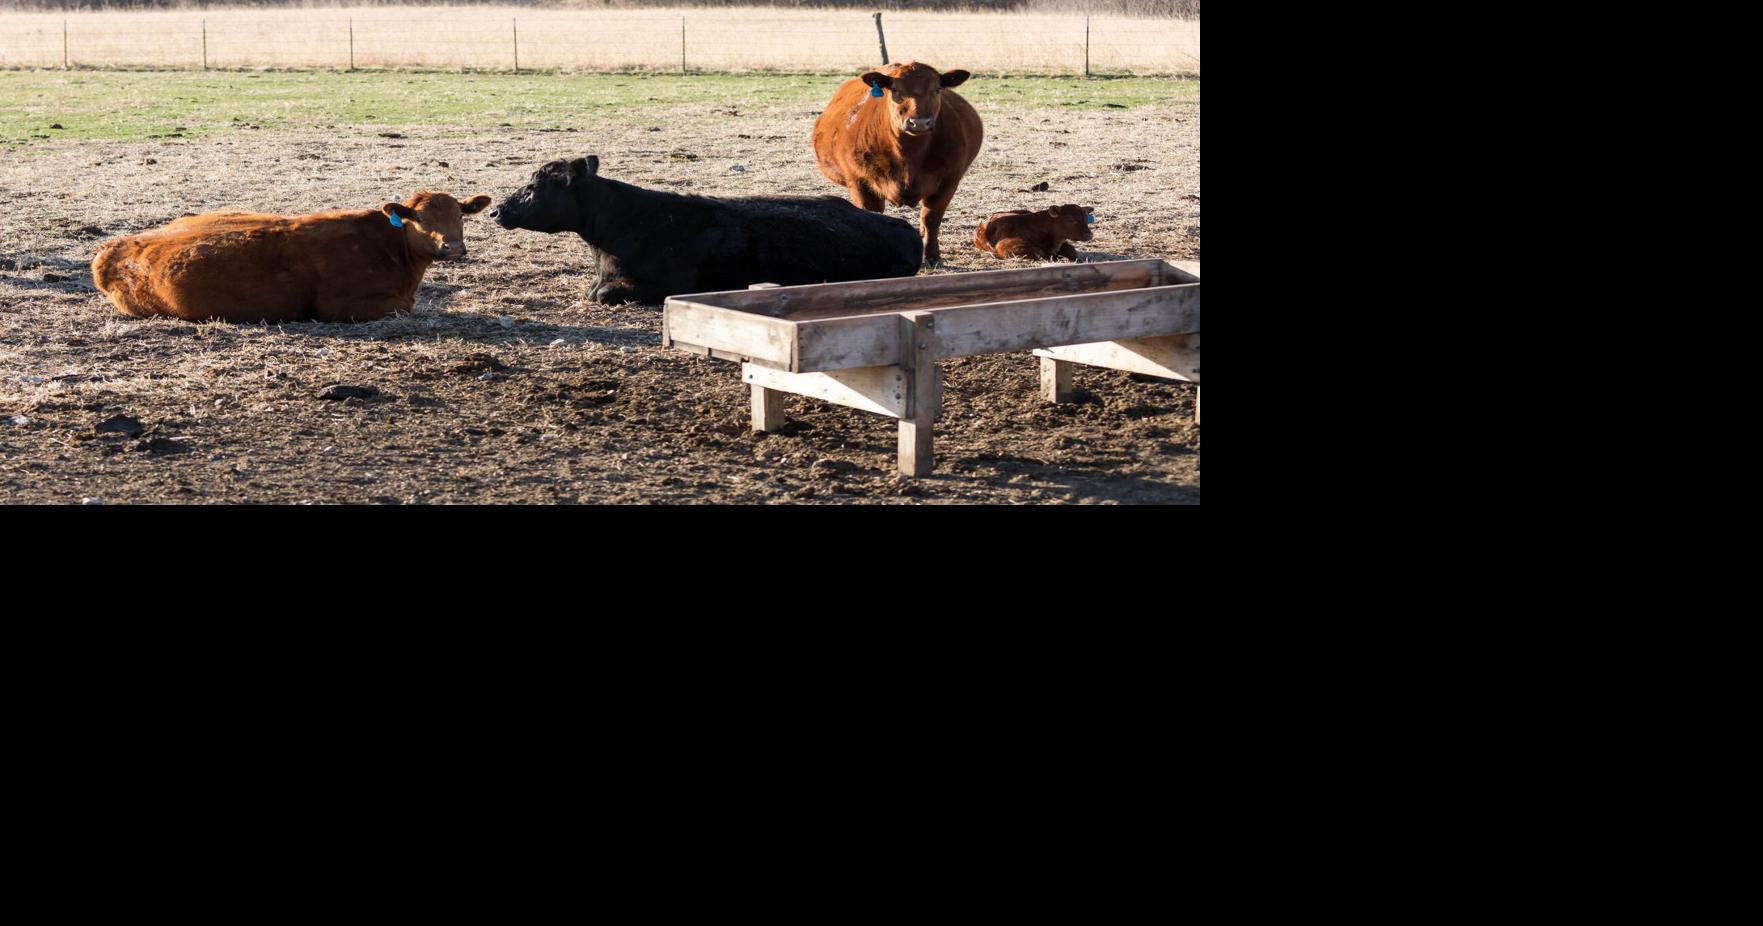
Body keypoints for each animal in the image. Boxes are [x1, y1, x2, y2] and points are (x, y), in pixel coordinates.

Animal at [811, 60, 984, 265]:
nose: (919, 123)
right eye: (895, 90)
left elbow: (931, 218)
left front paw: (932, 256)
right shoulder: (859, 182)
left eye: (937, 89)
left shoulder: (949, 180)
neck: (909, 156)